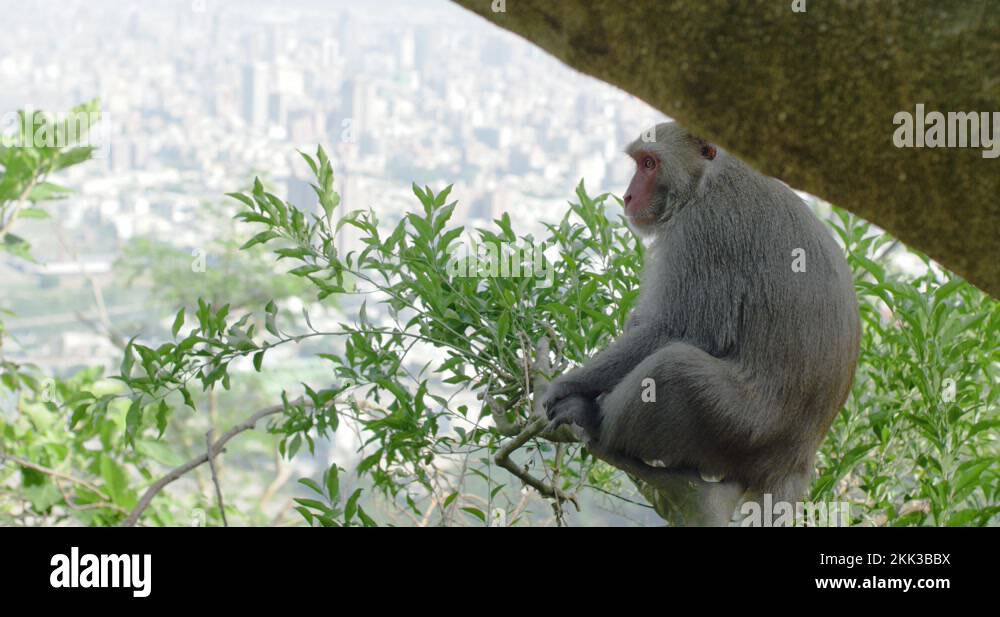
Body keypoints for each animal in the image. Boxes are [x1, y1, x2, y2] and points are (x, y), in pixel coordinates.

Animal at [542, 122, 860, 525]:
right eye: (640, 162)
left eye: (650, 163)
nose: (628, 197)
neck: (704, 184)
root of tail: (796, 459)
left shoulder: (702, 231)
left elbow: (680, 331)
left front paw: (568, 385)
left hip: (737, 427)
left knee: (672, 367)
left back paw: (595, 421)